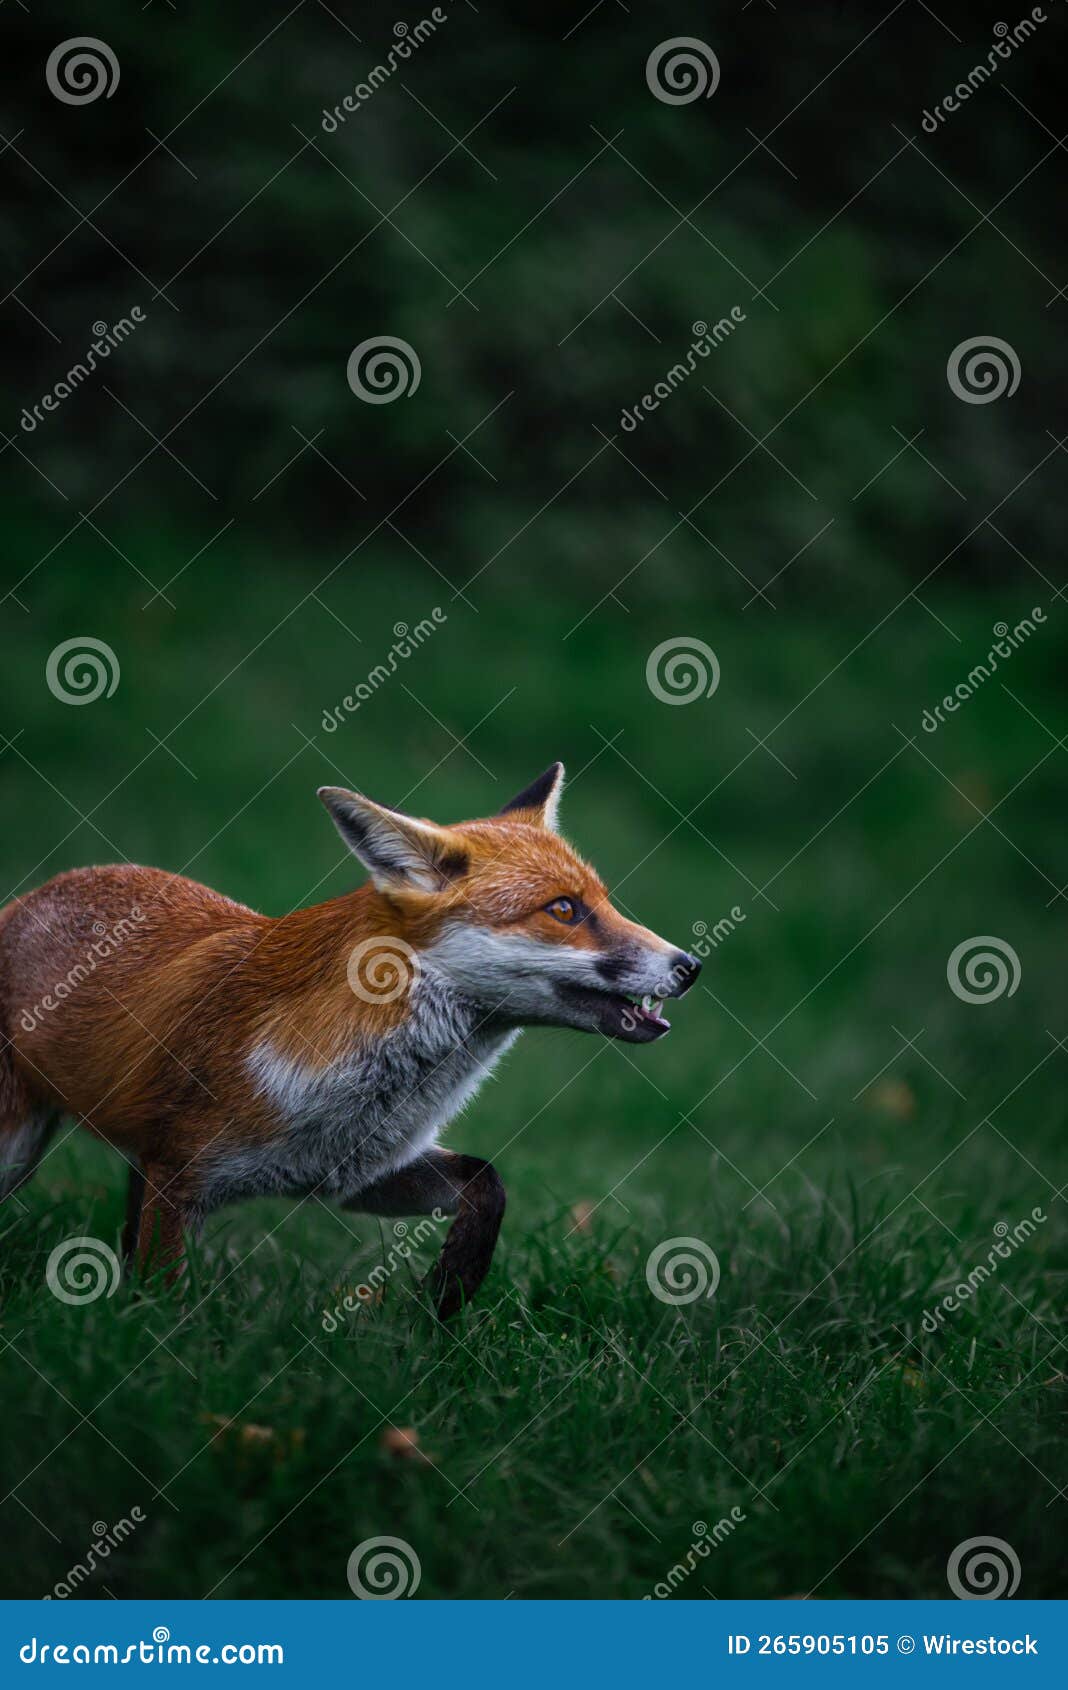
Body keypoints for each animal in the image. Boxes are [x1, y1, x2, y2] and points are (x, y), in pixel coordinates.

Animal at [0, 763, 700, 1316]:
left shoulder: (355, 1172)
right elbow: (162, 1295)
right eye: (563, 910)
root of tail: (32, 897)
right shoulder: (180, 1176)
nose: (691, 966)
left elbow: (488, 1186)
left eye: (604, 902)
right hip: (18, 1150)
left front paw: (441, 1304)